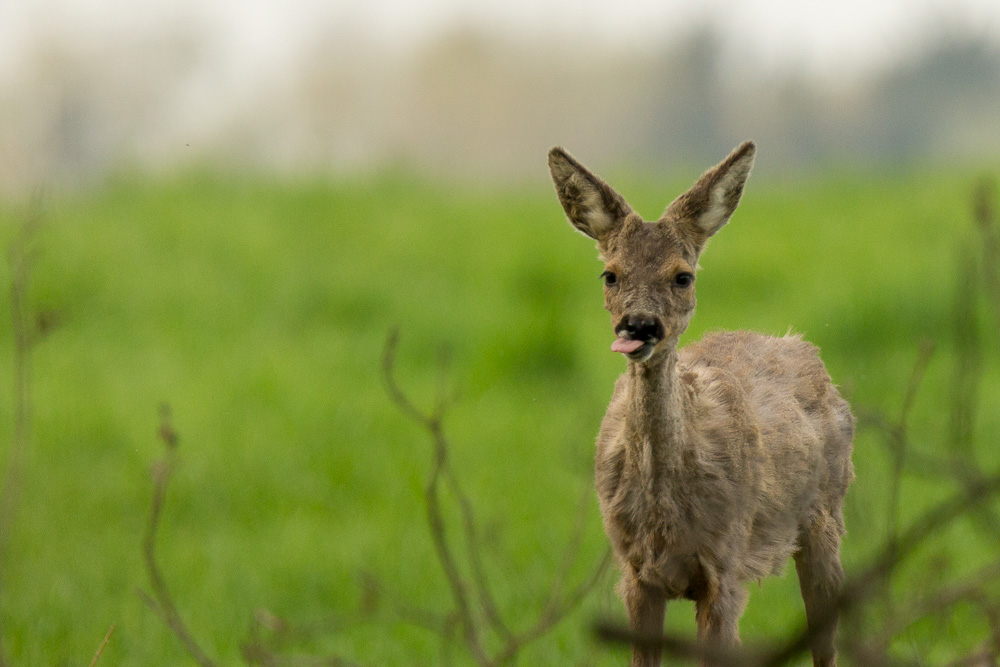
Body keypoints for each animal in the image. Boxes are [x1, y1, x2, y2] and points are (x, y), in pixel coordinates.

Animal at [547, 141, 854, 667]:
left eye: (682, 276)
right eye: (610, 275)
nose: (639, 325)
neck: (664, 513)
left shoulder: (725, 567)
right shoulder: (635, 575)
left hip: (826, 516)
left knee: (825, 640)